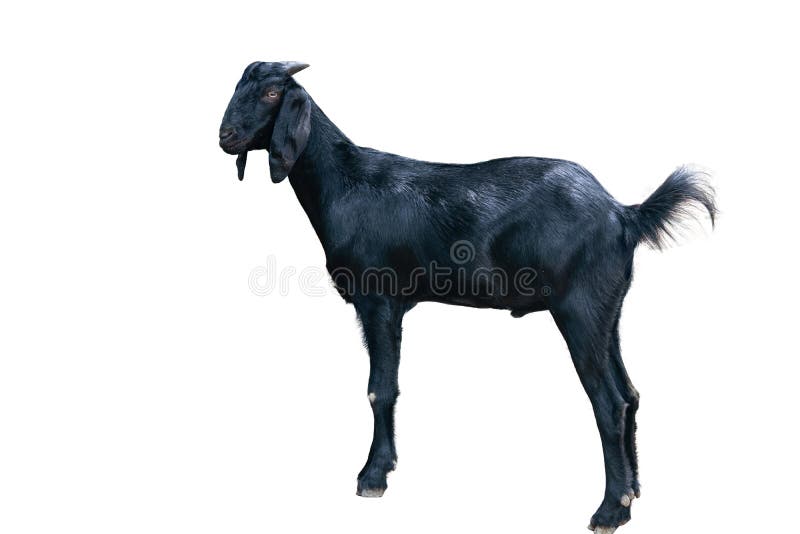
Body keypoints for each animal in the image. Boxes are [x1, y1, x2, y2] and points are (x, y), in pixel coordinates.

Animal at [219, 61, 716, 533]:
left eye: (272, 92)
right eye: (239, 87)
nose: (226, 136)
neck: (346, 182)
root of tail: (623, 214)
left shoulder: (378, 298)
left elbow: (380, 388)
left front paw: (372, 476)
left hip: (579, 308)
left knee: (609, 402)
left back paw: (609, 511)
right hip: (607, 312)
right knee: (630, 393)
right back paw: (632, 497)